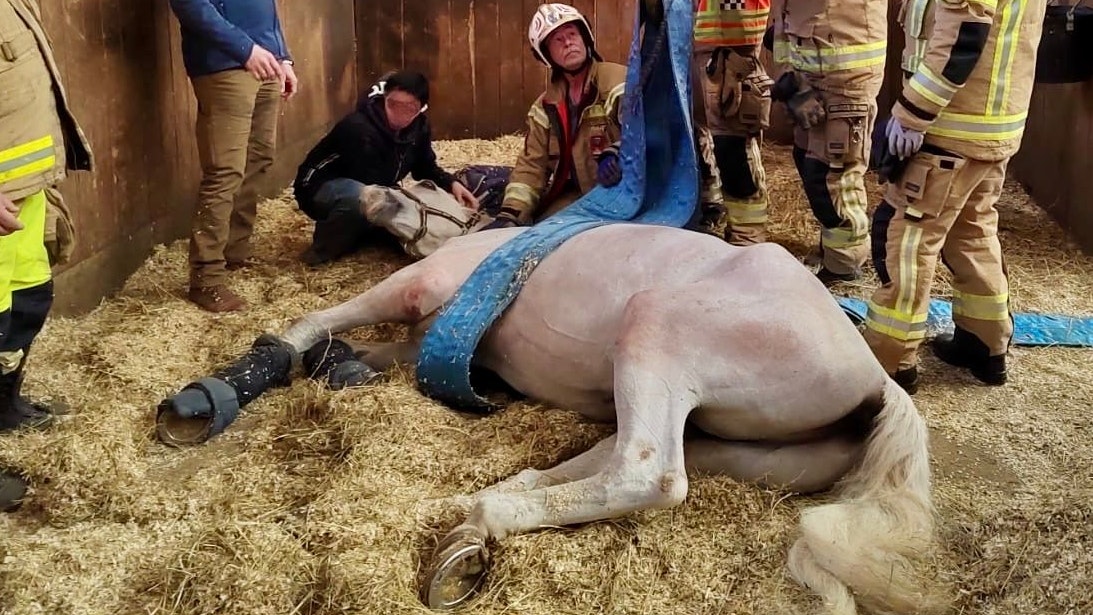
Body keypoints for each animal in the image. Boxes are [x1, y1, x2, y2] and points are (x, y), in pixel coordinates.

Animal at [273, 223, 939, 614]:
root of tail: (876, 380)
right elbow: (381, 351)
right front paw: (342, 364)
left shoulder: (422, 286)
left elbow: (330, 316)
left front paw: (278, 351)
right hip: (733, 443)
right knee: (619, 460)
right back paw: (469, 512)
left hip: (656, 326)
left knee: (649, 474)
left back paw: (481, 520)